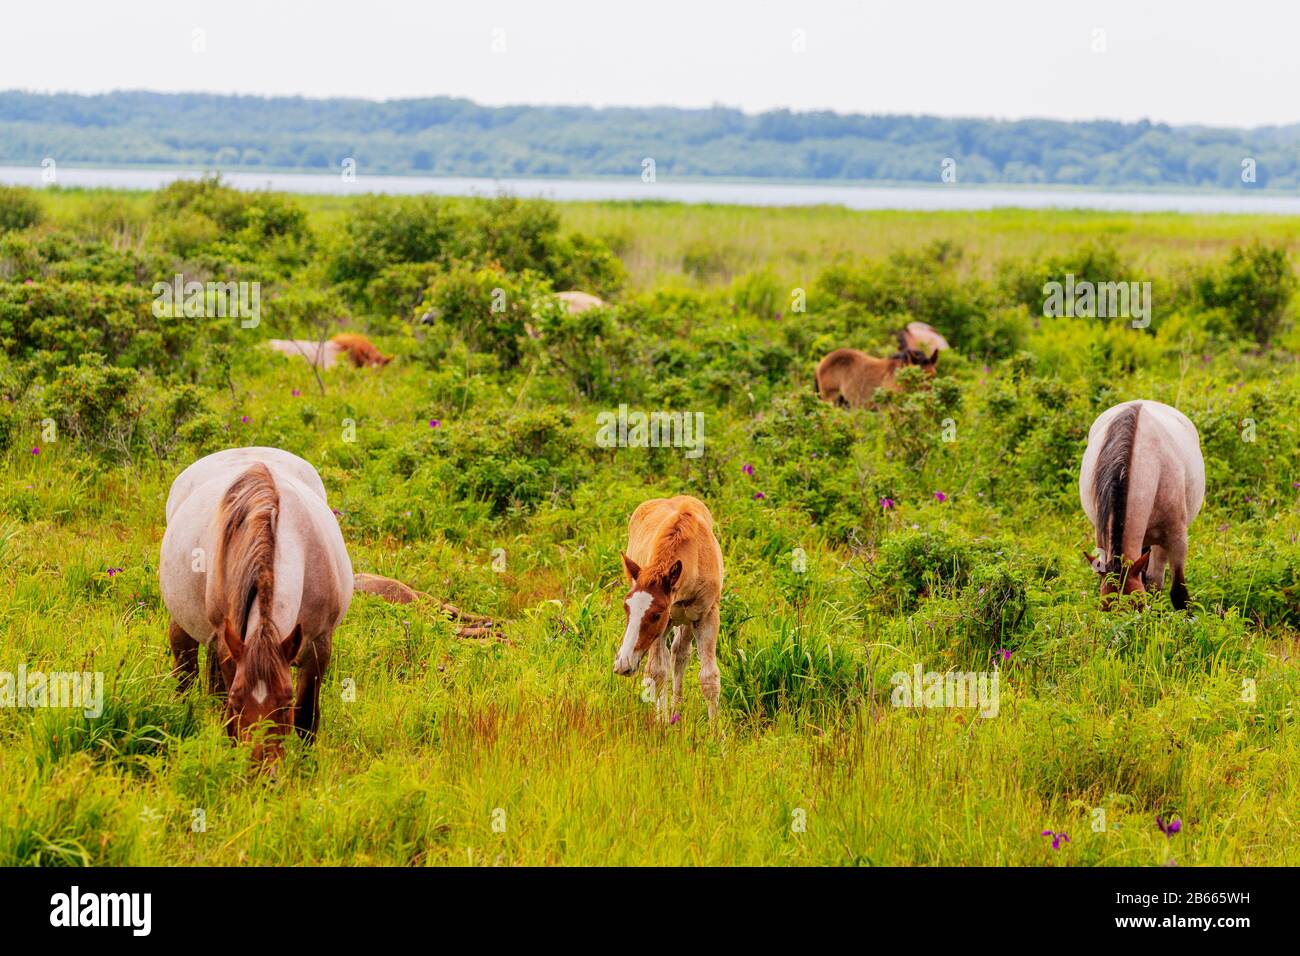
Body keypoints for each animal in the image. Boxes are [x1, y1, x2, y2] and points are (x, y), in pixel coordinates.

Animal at [160, 447, 352, 762]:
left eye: (286, 701)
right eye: (239, 701)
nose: (262, 769)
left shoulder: (319, 646)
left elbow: (306, 718)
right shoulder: (231, 650)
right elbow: (227, 714)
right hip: (188, 626)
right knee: (185, 668)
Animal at [615, 496, 725, 719]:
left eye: (656, 613)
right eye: (626, 607)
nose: (622, 664)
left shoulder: (707, 615)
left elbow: (709, 678)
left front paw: (717, 730)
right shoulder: (665, 625)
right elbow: (657, 671)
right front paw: (662, 722)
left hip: (686, 621)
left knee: (678, 654)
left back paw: (676, 709)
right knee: (663, 663)